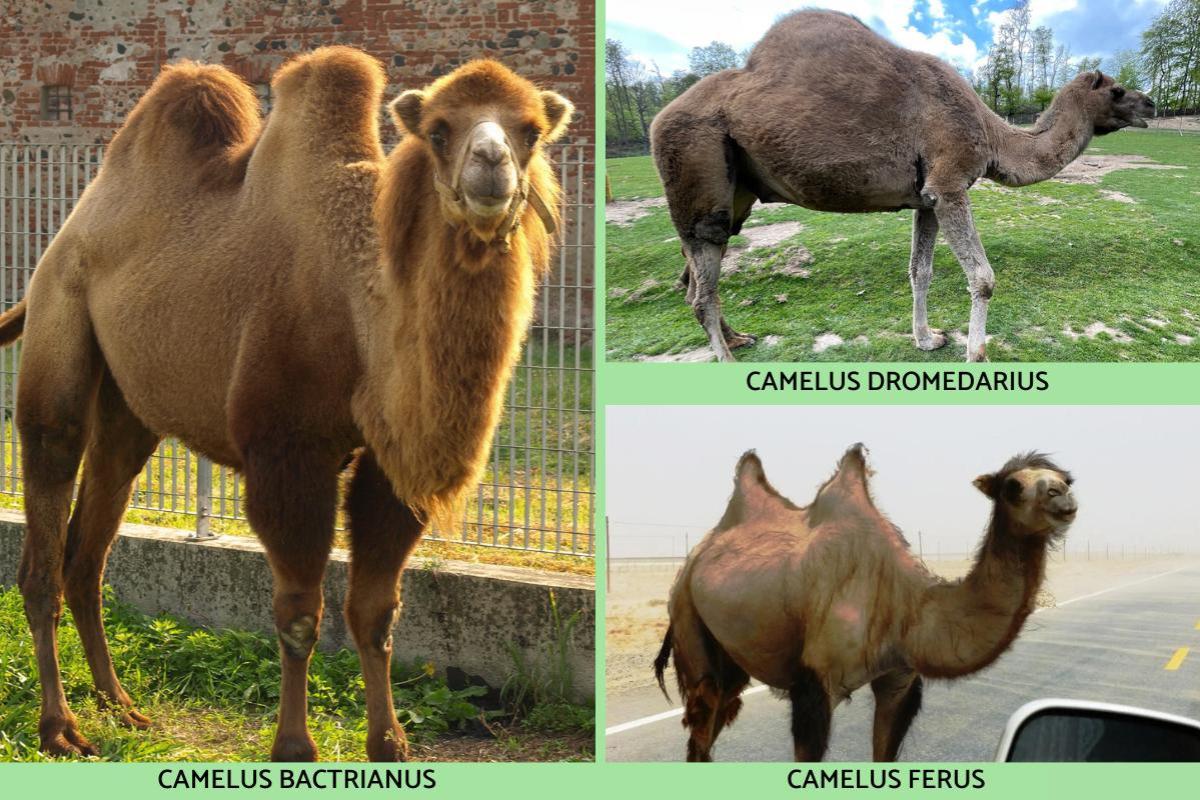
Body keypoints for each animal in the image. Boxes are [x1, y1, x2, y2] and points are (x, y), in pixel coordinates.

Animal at [0, 48, 572, 761]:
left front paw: (390, 743)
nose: (491, 164)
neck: (363, 312)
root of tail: (60, 240)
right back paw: (60, 727)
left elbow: (376, 614)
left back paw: (121, 705)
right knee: (45, 525)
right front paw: (294, 747)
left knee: (89, 550)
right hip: (60, 320)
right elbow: (300, 615)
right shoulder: (285, 451)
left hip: (128, 409)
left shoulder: (389, 466)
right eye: (439, 129)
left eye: (531, 131)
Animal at [651, 10, 1155, 362]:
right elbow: (983, 278)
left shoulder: (925, 199)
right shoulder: (949, 184)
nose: (1150, 104)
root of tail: (657, 120)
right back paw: (728, 359)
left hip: (736, 190)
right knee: (702, 282)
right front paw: (976, 355)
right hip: (696, 166)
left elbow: (920, 271)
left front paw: (927, 339)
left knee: (701, 275)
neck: (993, 135)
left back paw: (738, 337)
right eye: (1116, 90)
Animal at [654, 445, 1077, 762]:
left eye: (1066, 479)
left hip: (731, 651)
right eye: (1012, 486)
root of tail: (698, 555)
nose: (1063, 497)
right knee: (702, 721)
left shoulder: (898, 679)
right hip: (687, 614)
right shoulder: (814, 682)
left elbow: (883, 752)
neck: (908, 603)